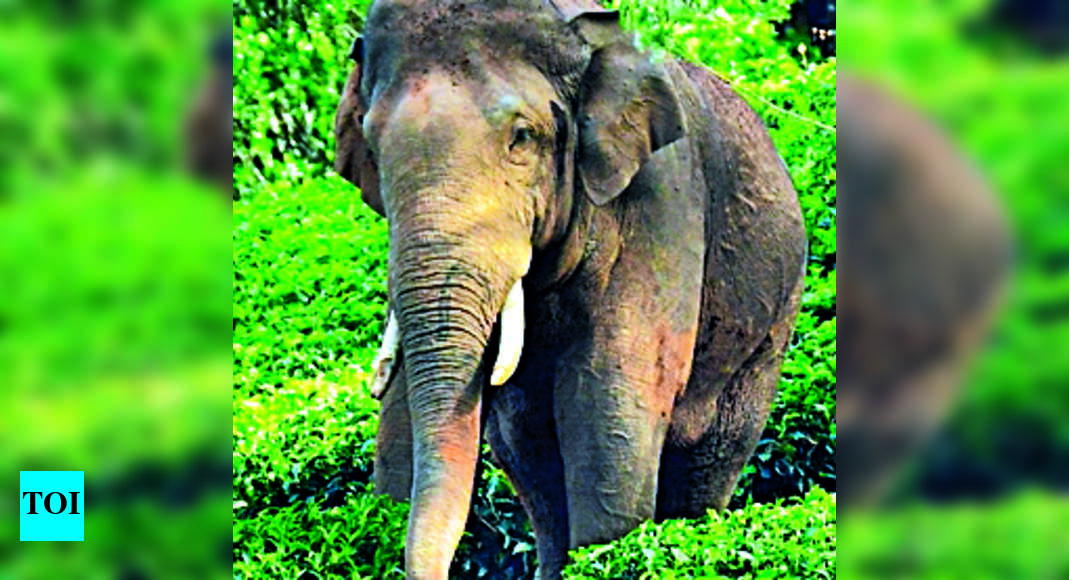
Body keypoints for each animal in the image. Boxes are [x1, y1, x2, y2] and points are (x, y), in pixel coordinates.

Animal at [333, 1, 807, 578]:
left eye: (521, 137)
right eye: (372, 146)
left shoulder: (661, 199)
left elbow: (610, 394)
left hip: (771, 330)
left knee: (711, 457)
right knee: (527, 447)